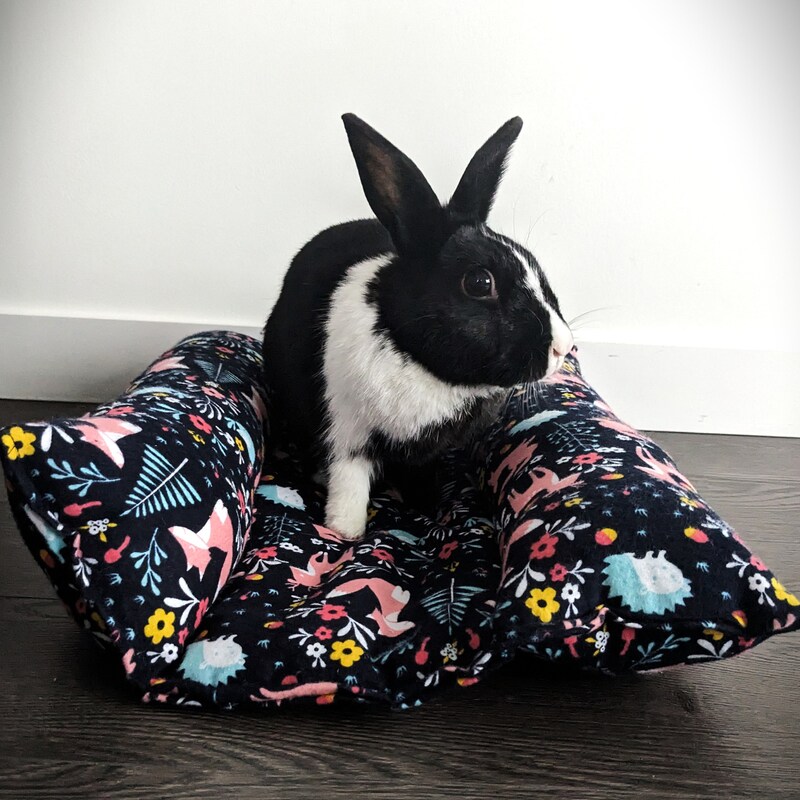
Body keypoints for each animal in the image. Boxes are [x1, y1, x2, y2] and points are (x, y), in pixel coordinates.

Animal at [262, 114, 573, 540]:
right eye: (480, 283)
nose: (563, 346)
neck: (422, 363)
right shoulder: (347, 432)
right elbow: (350, 484)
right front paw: (345, 532)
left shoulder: (430, 452)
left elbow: (424, 475)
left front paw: (431, 509)